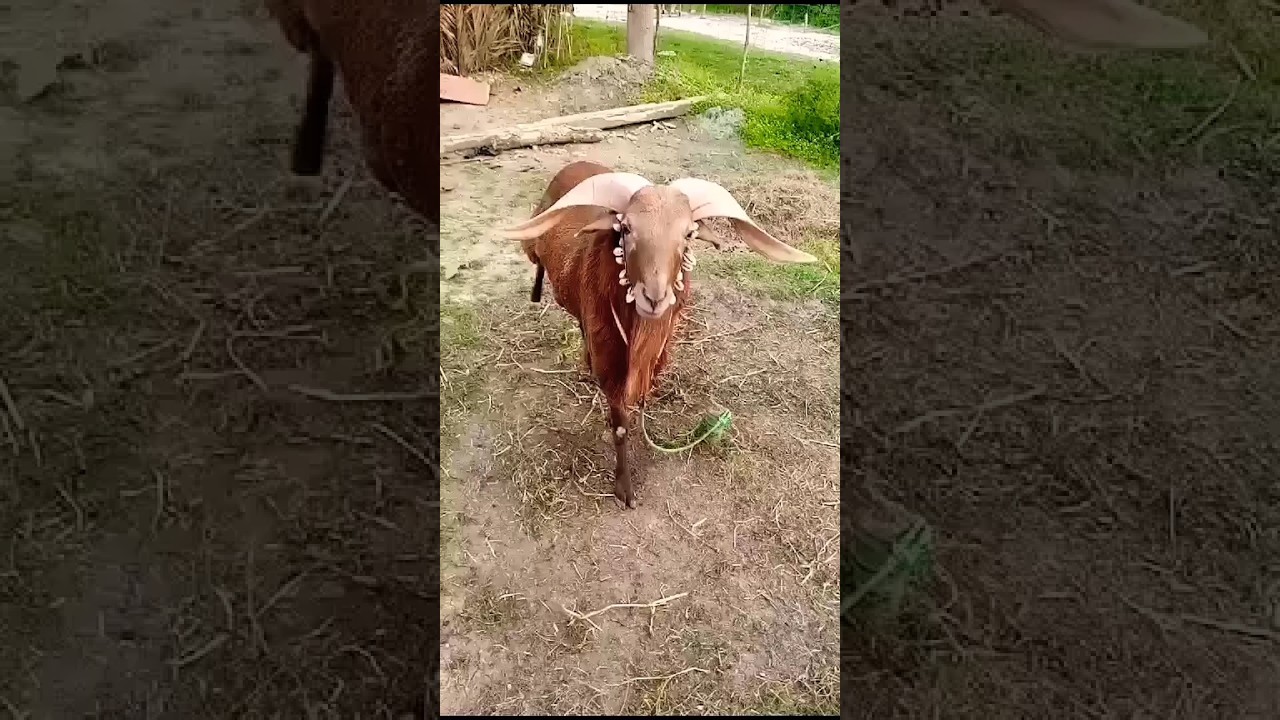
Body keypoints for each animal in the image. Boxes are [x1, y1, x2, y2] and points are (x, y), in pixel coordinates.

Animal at [499, 161, 817, 508]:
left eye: (689, 233)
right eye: (625, 228)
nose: (654, 298)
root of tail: (575, 165)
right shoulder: (611, 365)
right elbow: (620, 428)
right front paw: (624, 489)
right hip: (534, 249)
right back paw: (537, 295)